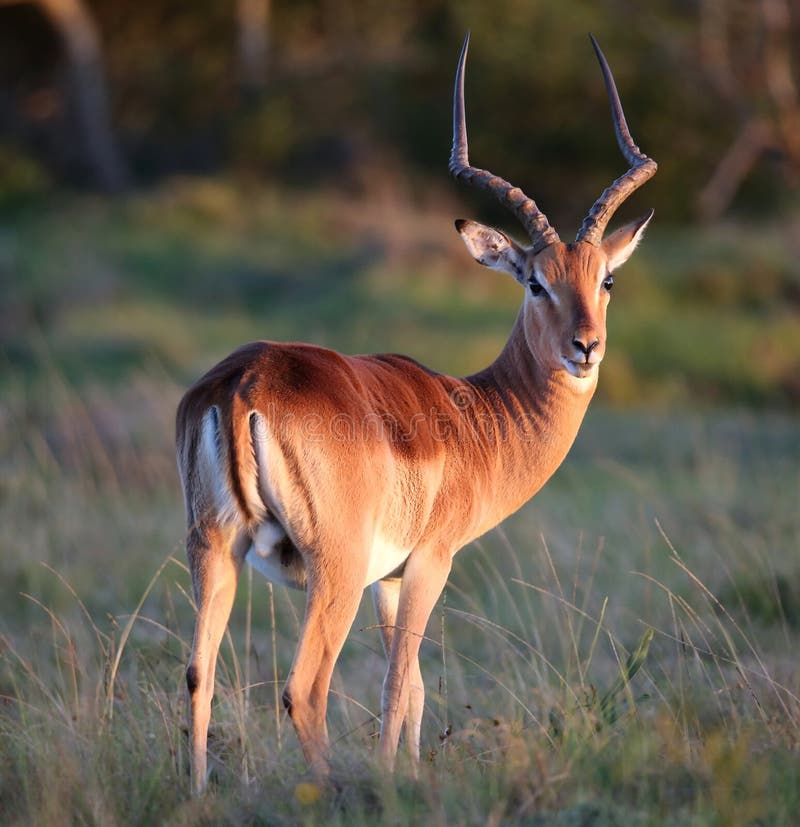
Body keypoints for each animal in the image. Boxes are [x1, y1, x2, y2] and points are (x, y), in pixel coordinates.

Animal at [176, 33, 657, 794]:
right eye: (534, 281)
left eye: (605, 279)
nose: (585, 348)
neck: (478, 417)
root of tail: (243, 383)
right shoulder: (430, 563)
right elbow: (400, 684)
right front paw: (394, 777)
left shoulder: (389, 578)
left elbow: (417, 692)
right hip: (332, 569)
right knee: (303, 689)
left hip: (213, 548)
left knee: (199, 674)